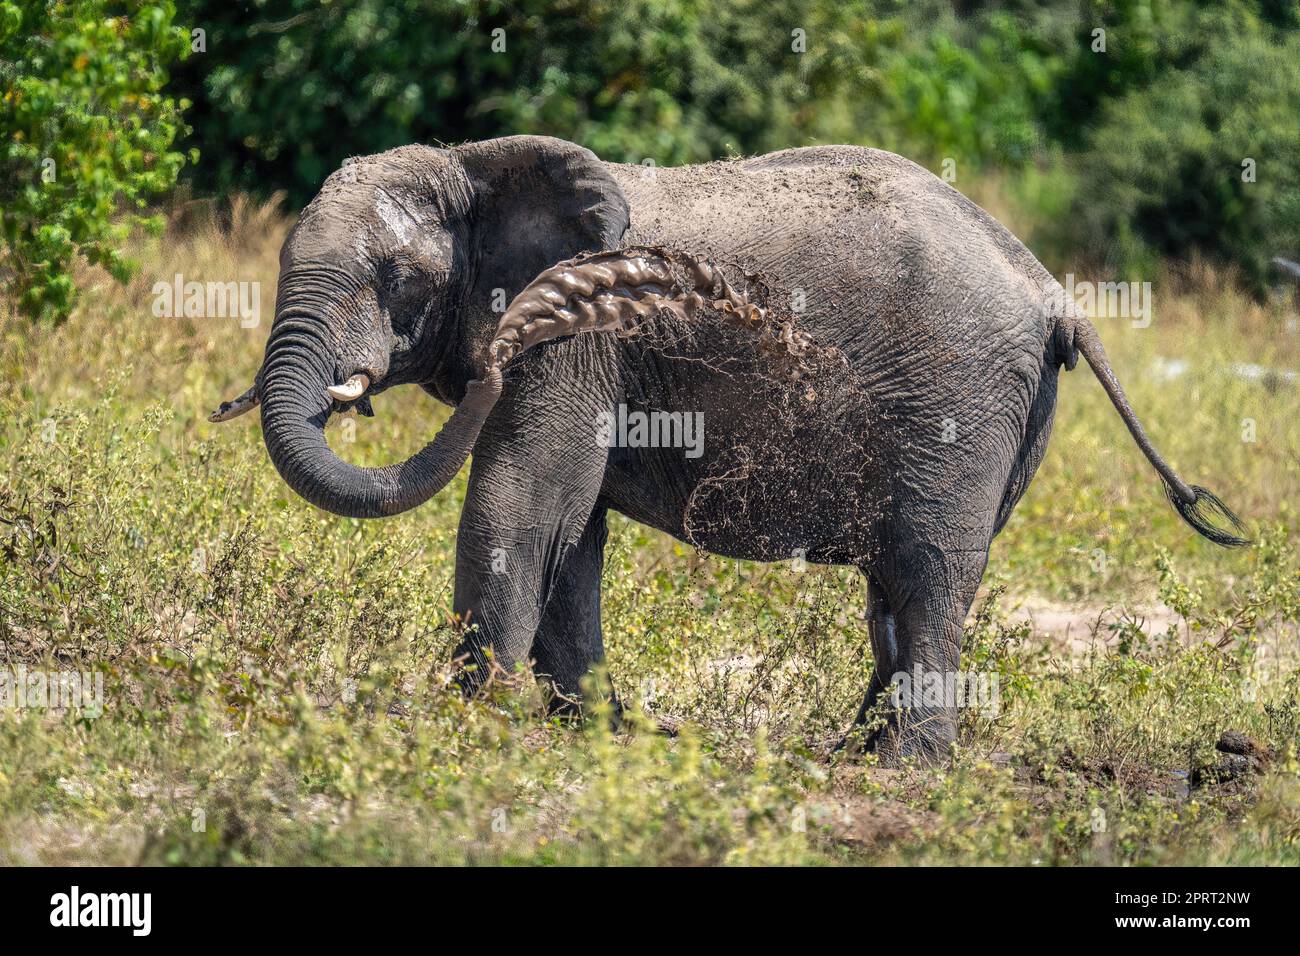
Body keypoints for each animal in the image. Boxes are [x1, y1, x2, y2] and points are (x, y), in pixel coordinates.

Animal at [211, 135, 1246, 764]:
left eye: (398, 279)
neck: (479, 163)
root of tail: (1050, 288)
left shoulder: (573, 341)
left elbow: (524, 504)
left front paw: (475, 728)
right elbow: (570, 531)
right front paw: (590, 732)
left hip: (962, 398)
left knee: (930, 568)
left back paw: (905, 771)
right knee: (899, 580)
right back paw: (853, 754)